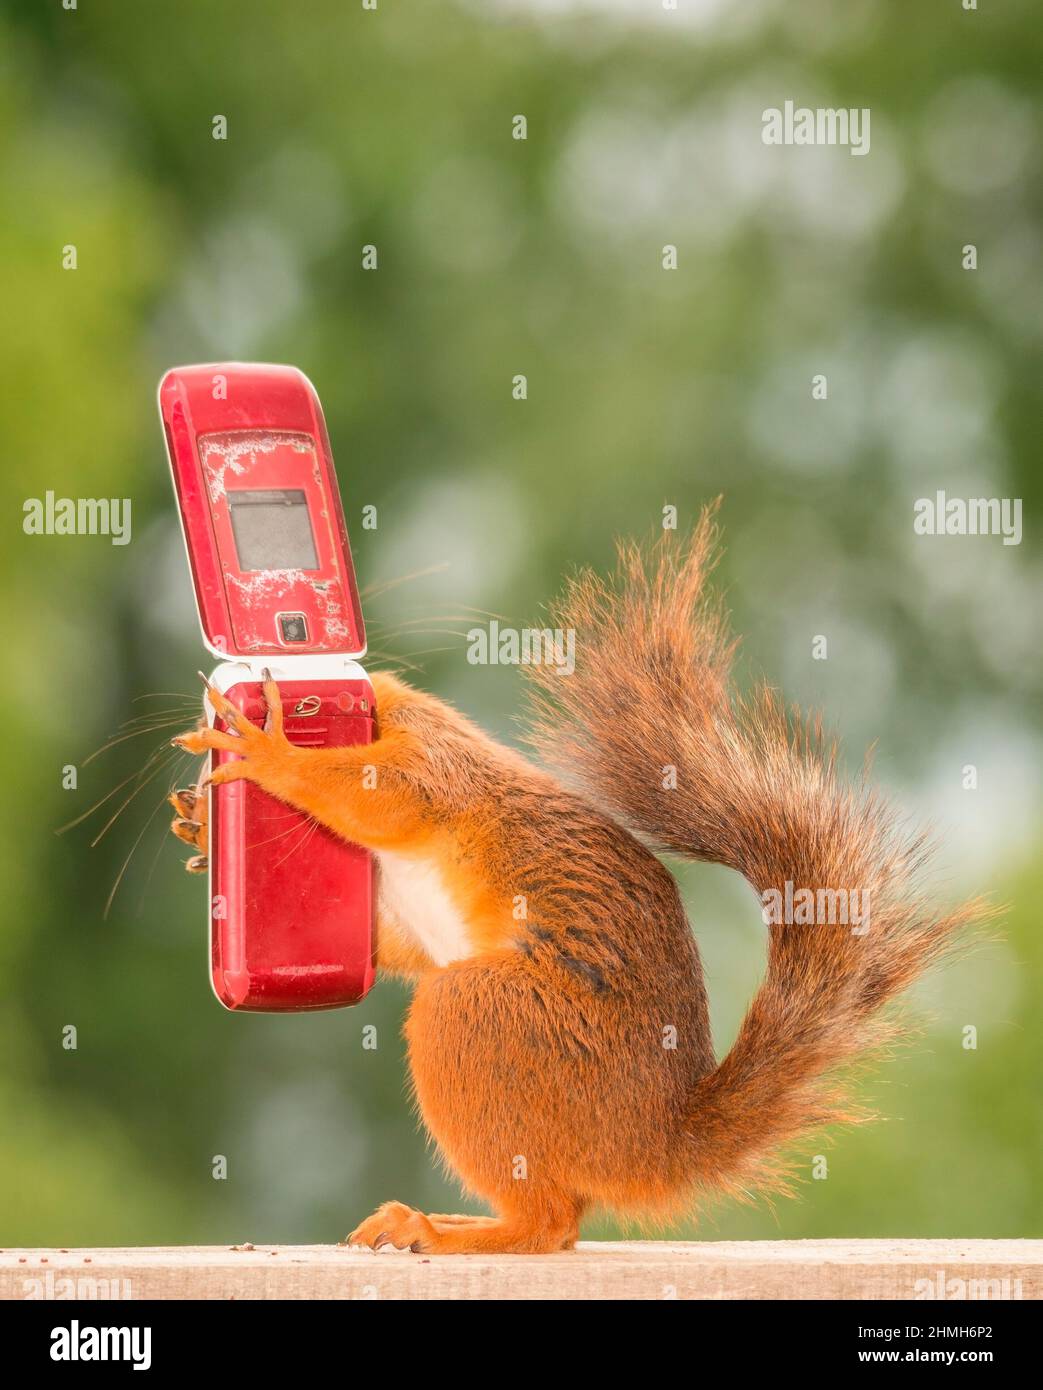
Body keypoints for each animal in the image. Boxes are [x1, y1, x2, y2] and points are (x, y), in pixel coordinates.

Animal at [170, 502, 983, 1254]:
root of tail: (654, 1145)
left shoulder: (431, 767)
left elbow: (375, 794)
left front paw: (273, 753)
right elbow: (385, 942)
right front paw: (202, 827)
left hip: (483, 1020)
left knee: (549, 1223)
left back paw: (441, 1229)